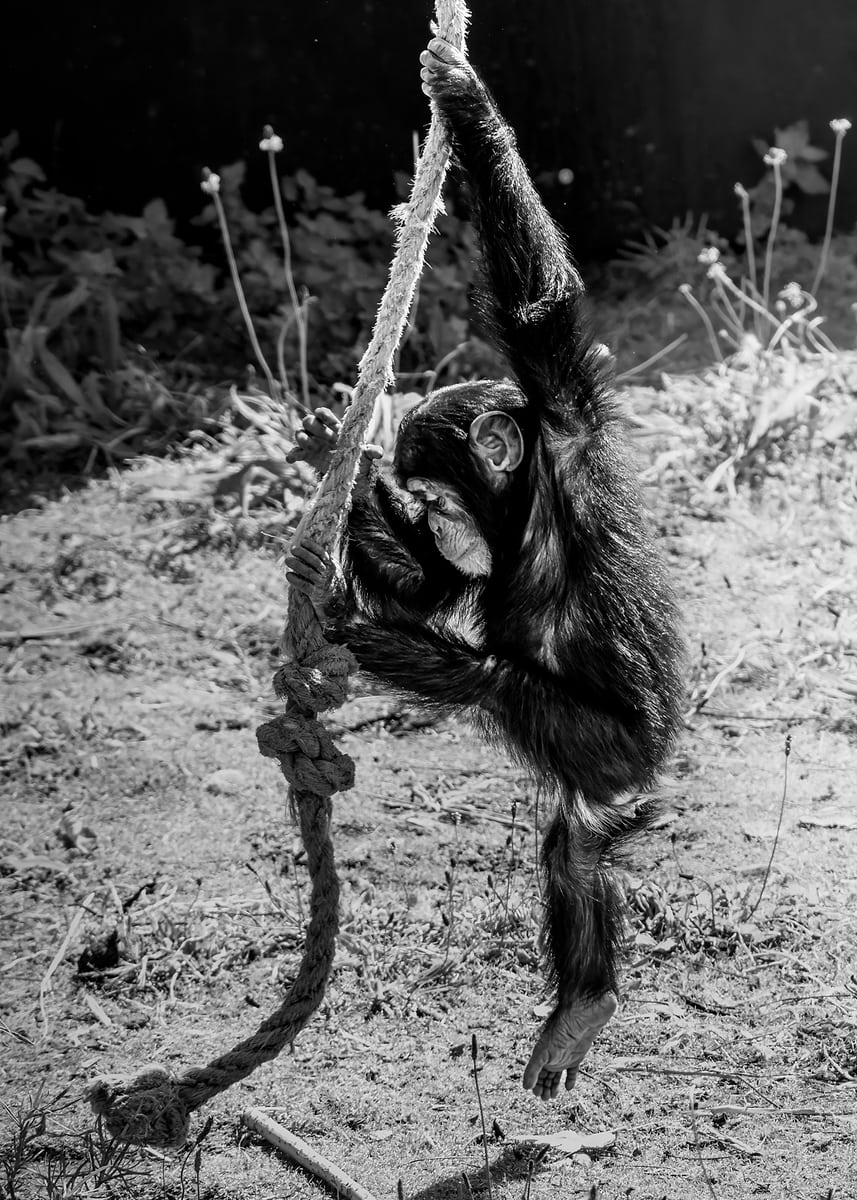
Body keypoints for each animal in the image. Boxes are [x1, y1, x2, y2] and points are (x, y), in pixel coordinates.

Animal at [285, 36, 684, 1100]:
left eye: (440, 495)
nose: (429, 518)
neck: (523, 501)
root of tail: (642, 775)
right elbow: (433, 589)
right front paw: (334, 456)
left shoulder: (565, 418)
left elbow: (541, 305)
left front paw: (463, 98)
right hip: (598, 792)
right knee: (573, 855)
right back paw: (583, 1002)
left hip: (607, 745)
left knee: (493, 683)